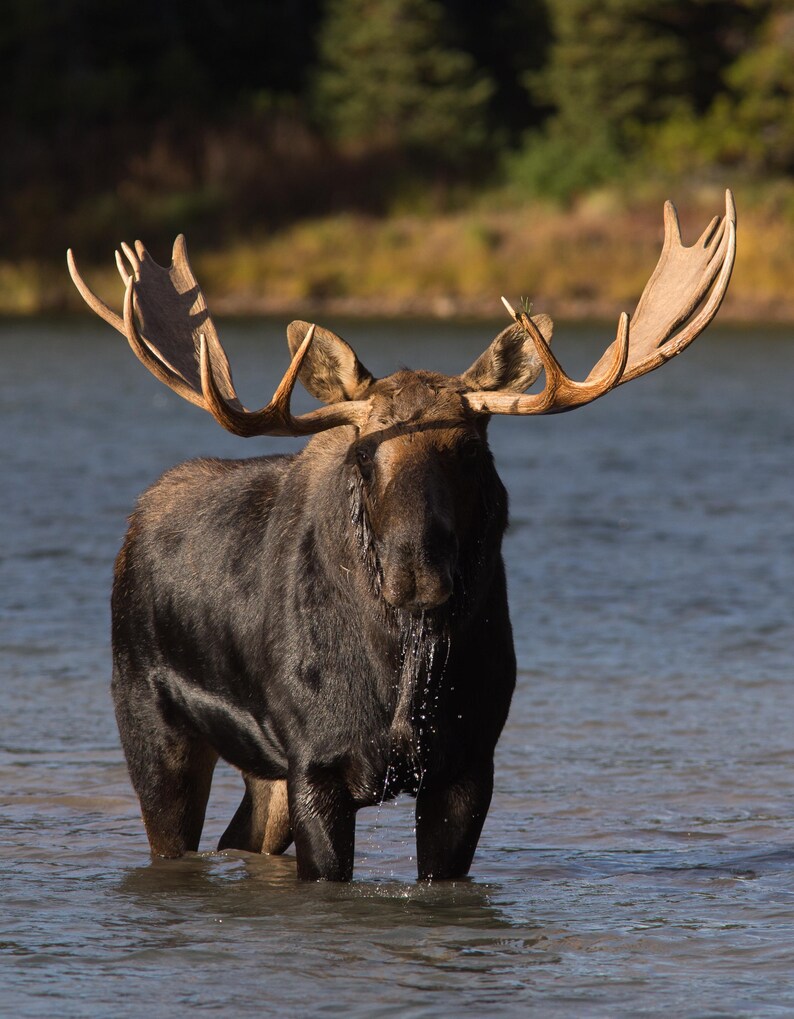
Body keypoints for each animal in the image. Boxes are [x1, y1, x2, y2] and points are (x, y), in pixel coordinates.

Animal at [67, 191, 736, 881]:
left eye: (469, 450)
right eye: (363, 454)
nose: (415, 574)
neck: (397, 669)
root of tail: (136, 523)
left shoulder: (468, 765)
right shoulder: (315, 762)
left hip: (259, 768)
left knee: (240, 839)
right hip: (151, 723)